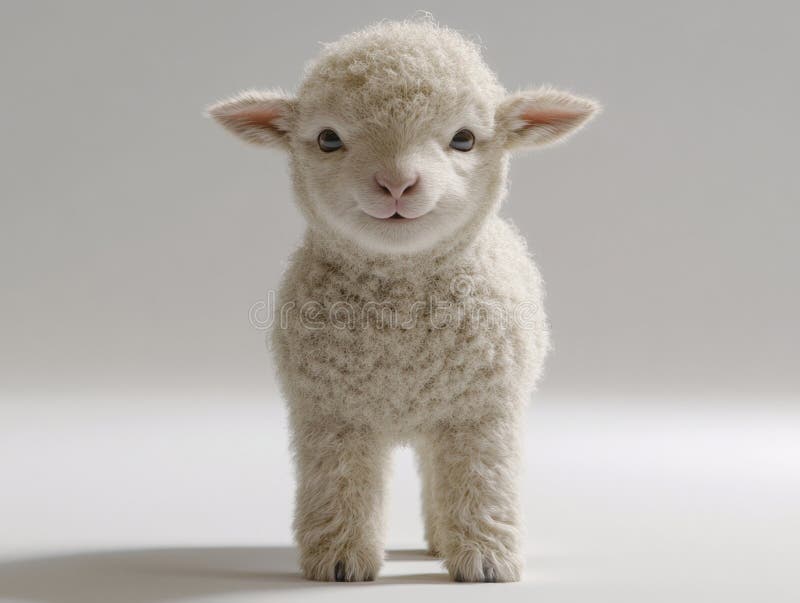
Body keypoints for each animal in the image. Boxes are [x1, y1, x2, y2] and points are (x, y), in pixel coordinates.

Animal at [208, 19, 598, 583]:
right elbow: (338, 482)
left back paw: (443, 542)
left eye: (464, 138)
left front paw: (485, 560)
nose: (396, 183)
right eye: (328, 139)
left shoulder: (481, 412)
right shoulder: (331, 413)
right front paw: (341, 561)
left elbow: (481, 481)